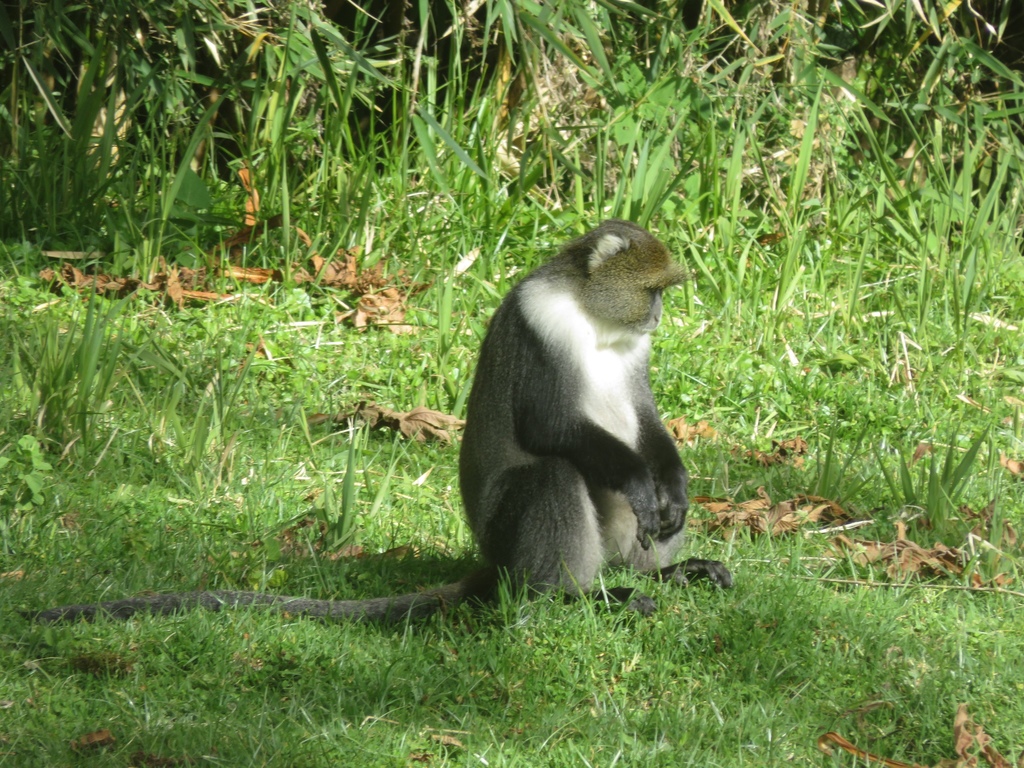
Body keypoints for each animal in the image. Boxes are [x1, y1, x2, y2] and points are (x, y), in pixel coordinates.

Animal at [30, 220, 731, 625]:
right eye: (654, 290)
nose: (658, 316)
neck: (594, 315)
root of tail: (493, 563)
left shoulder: (633, 360)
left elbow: (646, 422)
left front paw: (671, 484)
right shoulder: (542, 320)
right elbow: (549, 429)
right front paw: (638, 481)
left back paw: (662, 573)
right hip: (510, 536)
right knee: (551, 476)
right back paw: (568, 598)